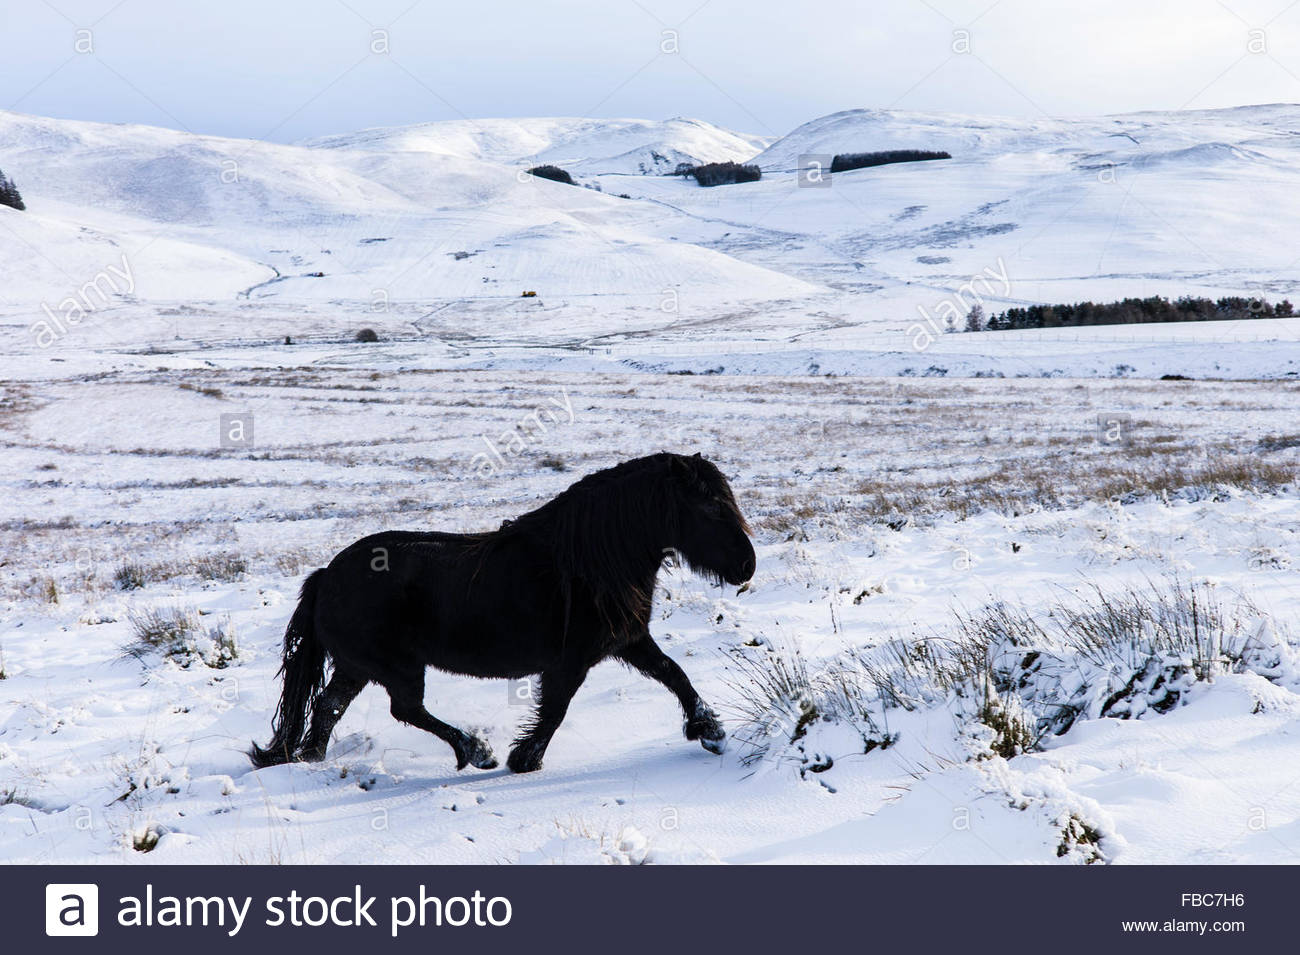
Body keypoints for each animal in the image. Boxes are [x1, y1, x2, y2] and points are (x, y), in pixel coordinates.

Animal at [250, 451, 756, 774]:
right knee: (404, 708)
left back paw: (308, 758)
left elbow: (676, 675)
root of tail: (325, 577)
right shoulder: (570, 661)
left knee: (328, 707)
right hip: (394, 666)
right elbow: (554, 710)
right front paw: (524, 760)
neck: (592, 559)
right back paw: (477, 751)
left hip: (357, 666)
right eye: (710, 508)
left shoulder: (629, 641)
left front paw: (709, 731)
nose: (747, 566)